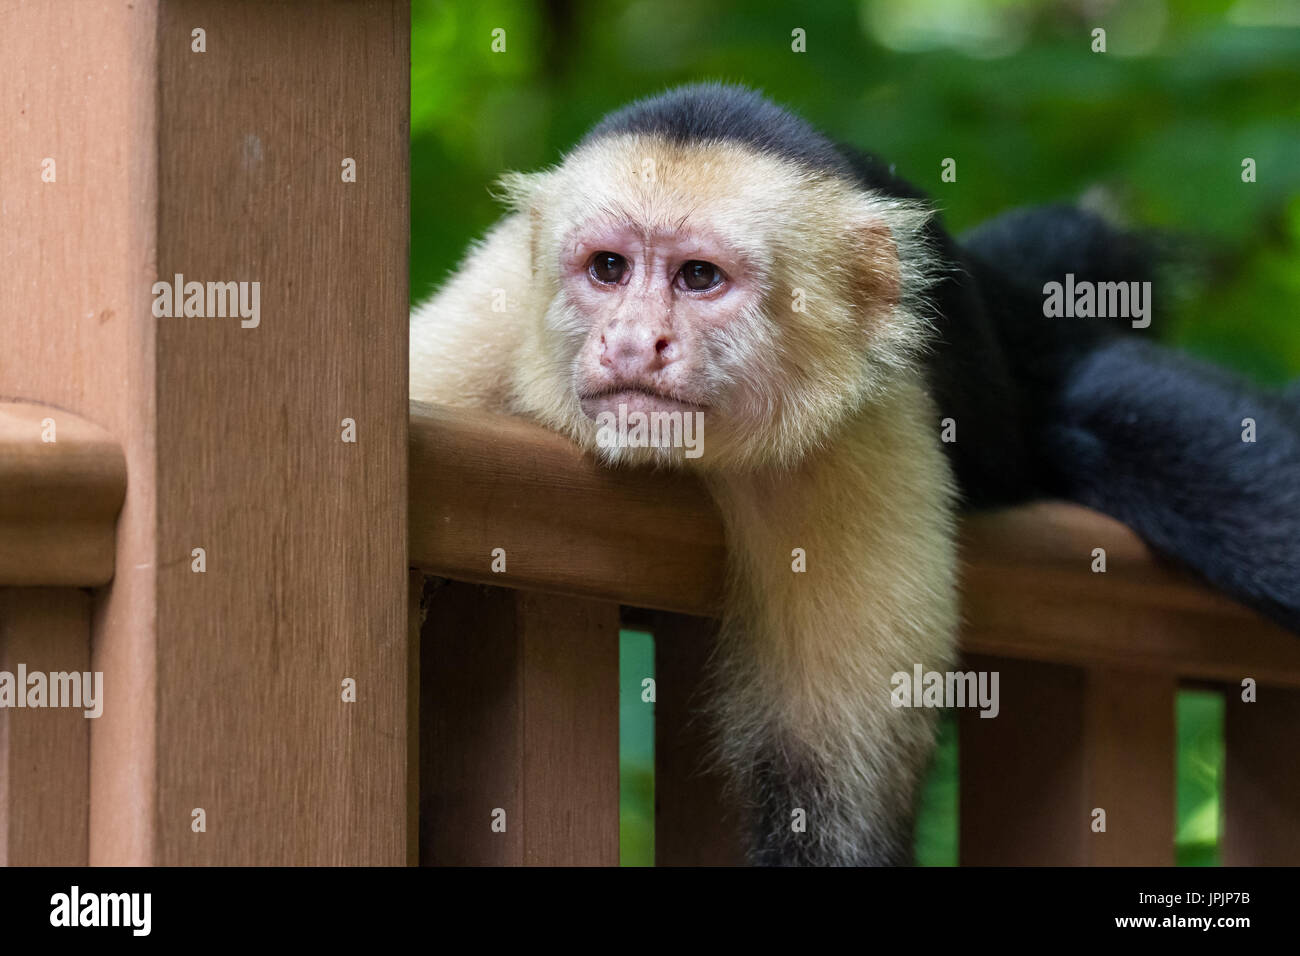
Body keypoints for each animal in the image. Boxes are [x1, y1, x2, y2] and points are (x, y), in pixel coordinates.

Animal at [411, 83, 1300, 866]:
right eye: (607, 268)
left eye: (699, 277)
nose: (632, 342)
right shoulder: (493, 310)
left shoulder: (865, 432)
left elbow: (833, 814)